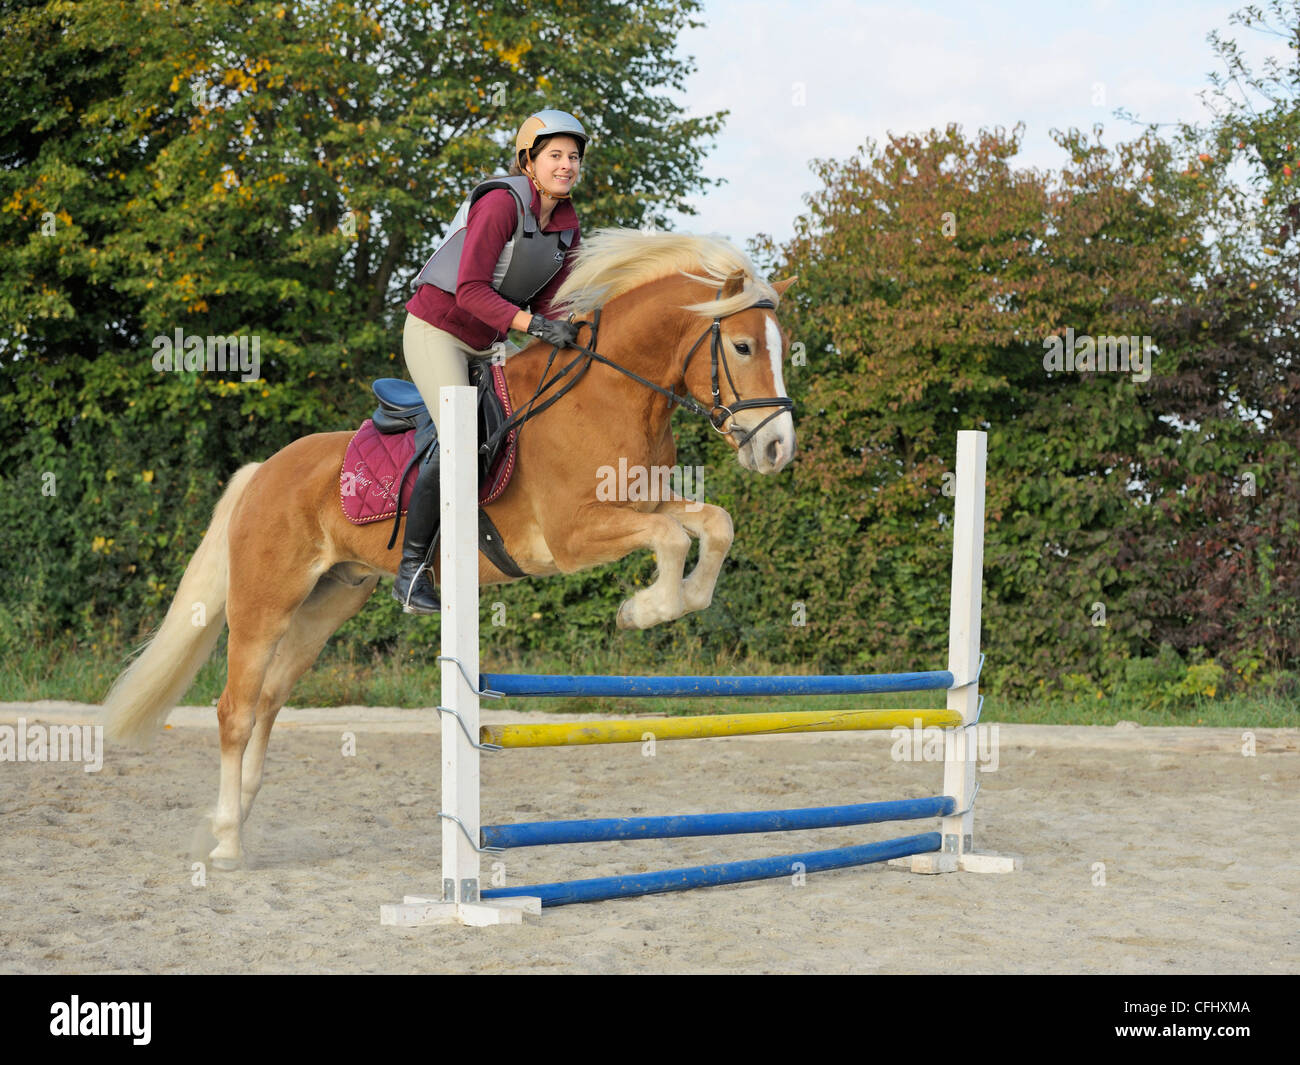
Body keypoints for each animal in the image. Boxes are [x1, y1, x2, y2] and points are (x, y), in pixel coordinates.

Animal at [101, 229, 798, 869]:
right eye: (742, 346)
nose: (776, 449)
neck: (612, 394)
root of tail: (264, 471)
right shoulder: (575, 534)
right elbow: (673, 537)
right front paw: (643, 610)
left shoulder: (644, 504)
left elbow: (714, 524)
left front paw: (678, 600)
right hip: (264, 602)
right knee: (236, 710)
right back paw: (224, 842)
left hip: (328, 602)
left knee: (270, 699)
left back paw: (237, 817)